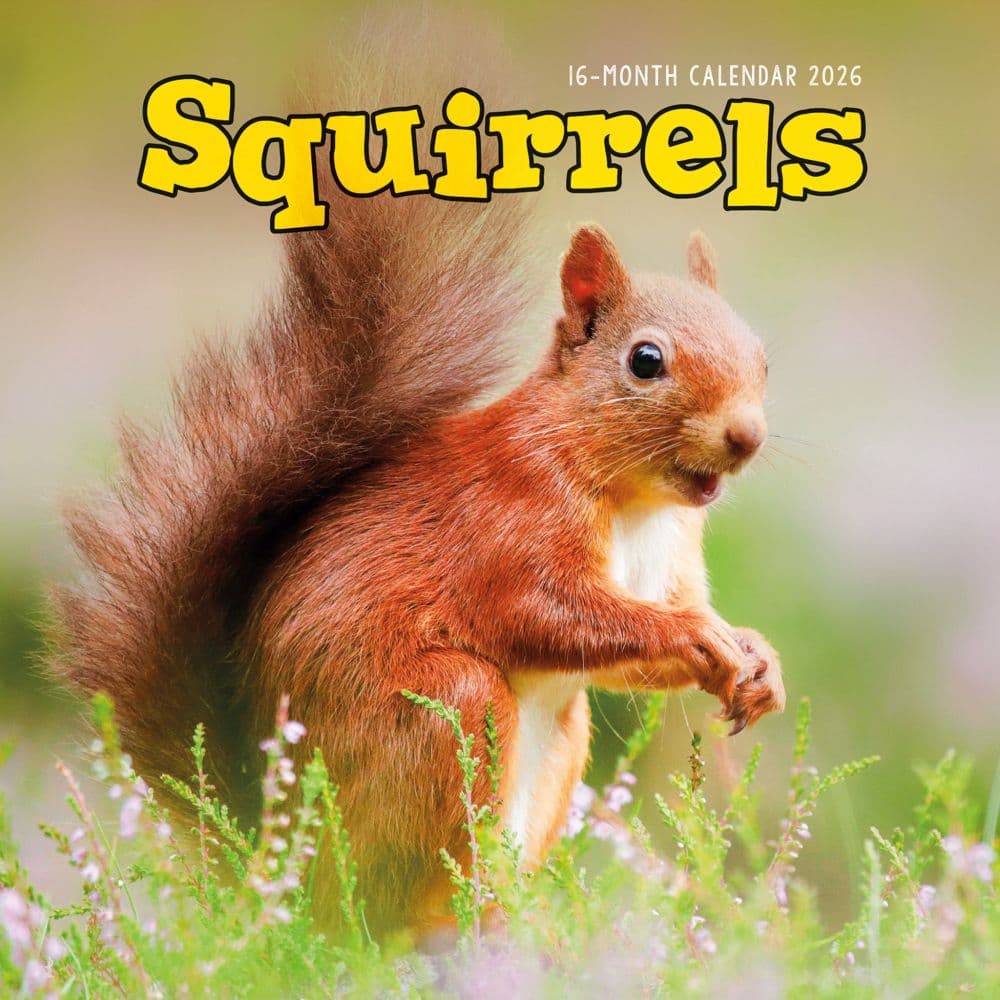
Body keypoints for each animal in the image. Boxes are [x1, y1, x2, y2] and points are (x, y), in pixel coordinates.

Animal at [49, 61, 784, 942]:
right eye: (646, 361)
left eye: (762, 355)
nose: (745, 436)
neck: (635, 499)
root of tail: (276, 866)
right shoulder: (509, 518)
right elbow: (547, 613)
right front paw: (698, 639)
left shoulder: (672, 556)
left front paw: (756, 658)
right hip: (446, 715)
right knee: (384, 905)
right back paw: (458, 928)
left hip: (555, 745)